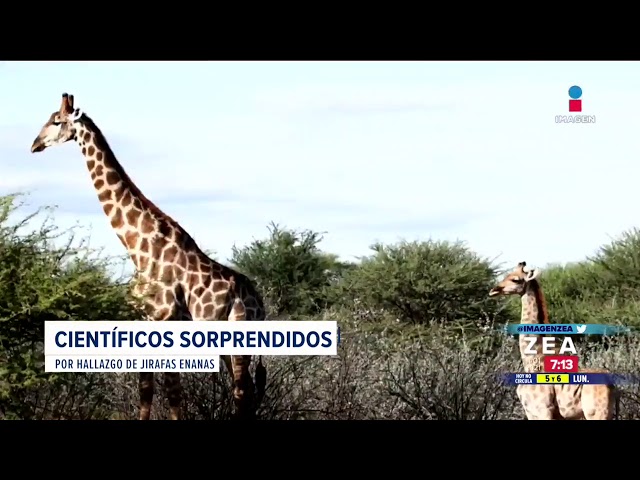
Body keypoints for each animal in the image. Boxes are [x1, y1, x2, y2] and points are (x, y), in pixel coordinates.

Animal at [30, 93, 267, 420]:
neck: (137, 249)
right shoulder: (141, 321)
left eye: (56, 121)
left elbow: (173, 394)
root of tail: (261, 303)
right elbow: (146, 392)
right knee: (246, 394)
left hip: (240, 333)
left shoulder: (167, 319)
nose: (34, 144)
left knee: (243, 394)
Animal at [489, 261, 618, 420]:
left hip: (595, 413)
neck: (532, 361)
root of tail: (613, 386)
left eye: (515, 279)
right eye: (507, 275)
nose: (493, 290)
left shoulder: (543, 410)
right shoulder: (532, 412)